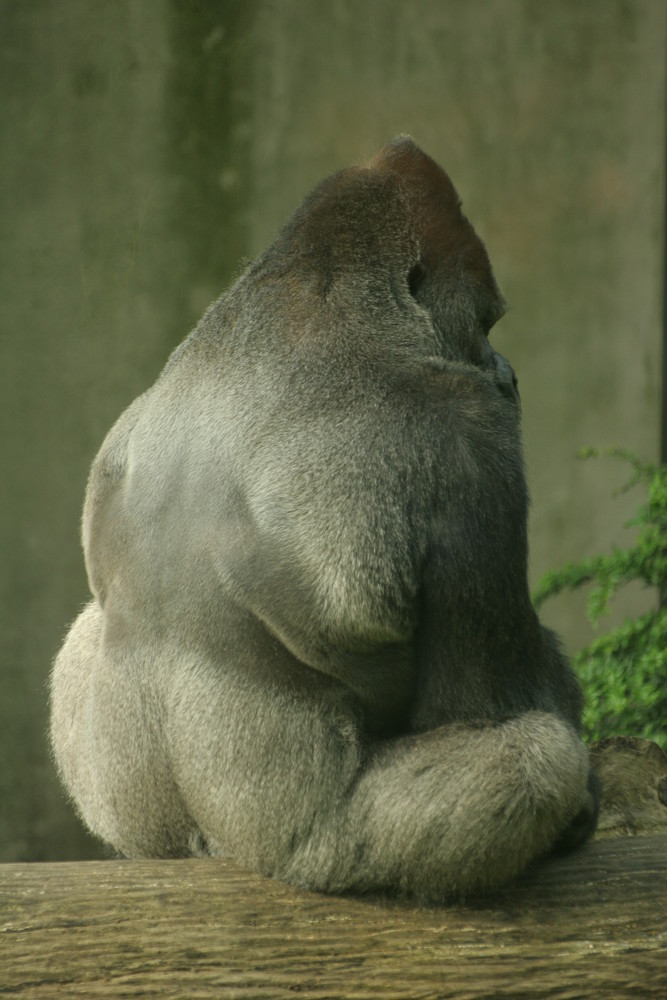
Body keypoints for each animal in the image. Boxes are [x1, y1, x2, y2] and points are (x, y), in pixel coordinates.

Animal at [50, 136, 599, 902]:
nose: (509, 373)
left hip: (140, 816)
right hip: (312, 855)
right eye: (486, 321)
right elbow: (477, 704)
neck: (310, 307)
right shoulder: (467, 437)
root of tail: (219, 845)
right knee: (535, 761)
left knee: (84, 632)